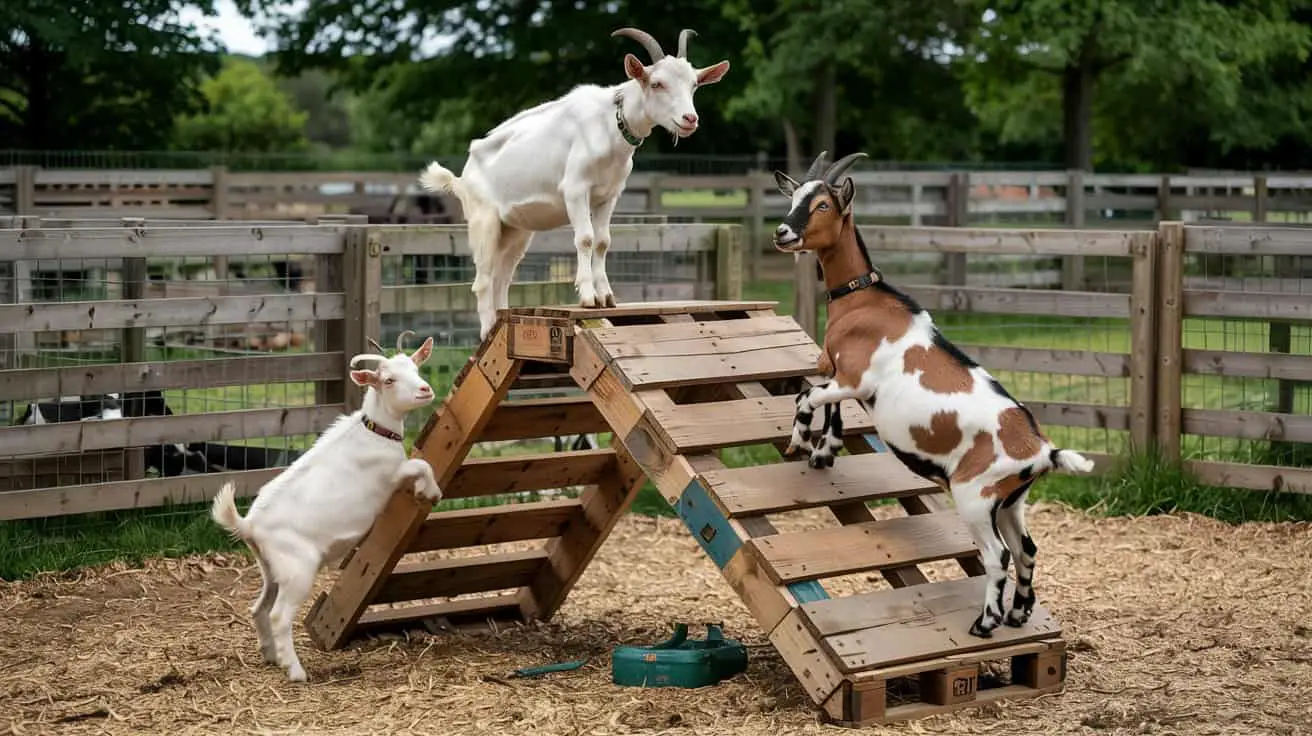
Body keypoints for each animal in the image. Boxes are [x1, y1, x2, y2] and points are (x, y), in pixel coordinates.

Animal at [210, 331, 441, 682]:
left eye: (416, 368)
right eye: (388, 380)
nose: (425, 389)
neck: (375, 432)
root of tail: (249, 525)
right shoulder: (390, 474)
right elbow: (421, 465)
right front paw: (431, 491)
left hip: (271, 569)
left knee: (259, 607)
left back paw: (270, 655)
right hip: (298, 568)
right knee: (278, 615)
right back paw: (295, 670)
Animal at [418, 27, 731, 339]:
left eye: (694, 85)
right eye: (657, 83)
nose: (689, 119)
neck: (611, 124)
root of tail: (462, 177)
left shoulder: (609, 196)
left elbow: (603, 241)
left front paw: (607, 297)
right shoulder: (576, 191)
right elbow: (586, 238)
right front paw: (588, 297)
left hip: (516, 230)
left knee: (502, 277)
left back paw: (501, 323)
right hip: (484, 221)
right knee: (482, 279)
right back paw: (486, 331)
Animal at [771, 152, 1096, 639]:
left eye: (824, 204)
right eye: (793, 198)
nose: (783, 232)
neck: (863, 300)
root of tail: (1042, 451)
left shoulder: (855, 379)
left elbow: (809, 397)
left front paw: (800, 441)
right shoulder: (840, 374)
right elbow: (825, 398)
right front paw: (825, 450)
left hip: (975, 496)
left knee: (997, 556)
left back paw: (985, 623)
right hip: (1010, 502)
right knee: (1027, 550)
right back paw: (1018, 615)